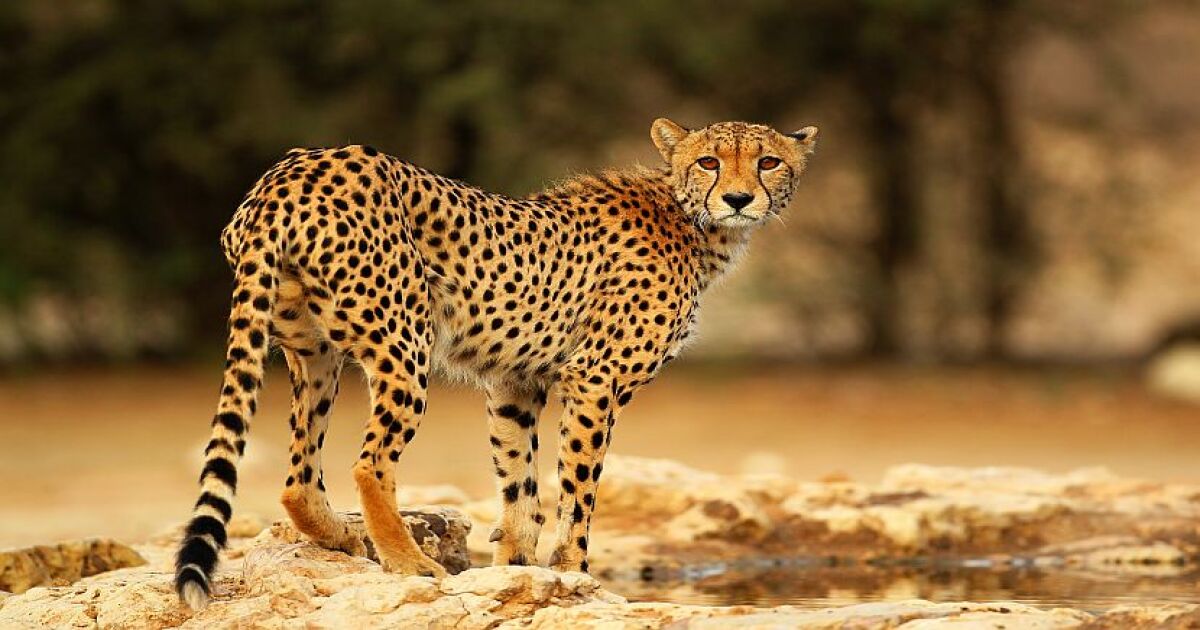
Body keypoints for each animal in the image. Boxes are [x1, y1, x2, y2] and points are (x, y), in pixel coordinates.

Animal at [175, 117, 818, 610]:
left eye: (767, 162)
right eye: (709, 161)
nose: (739, 199)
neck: (693, 223)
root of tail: (288, 174)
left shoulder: (516, 381)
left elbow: (518, 486)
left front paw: (517, 569)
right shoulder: (595, 378)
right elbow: (577, 491)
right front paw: (575, 573)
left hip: (311, 350)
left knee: (297, 478)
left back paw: (344, 539)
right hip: (403, 344)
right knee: (369, 462)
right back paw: (411, 564)